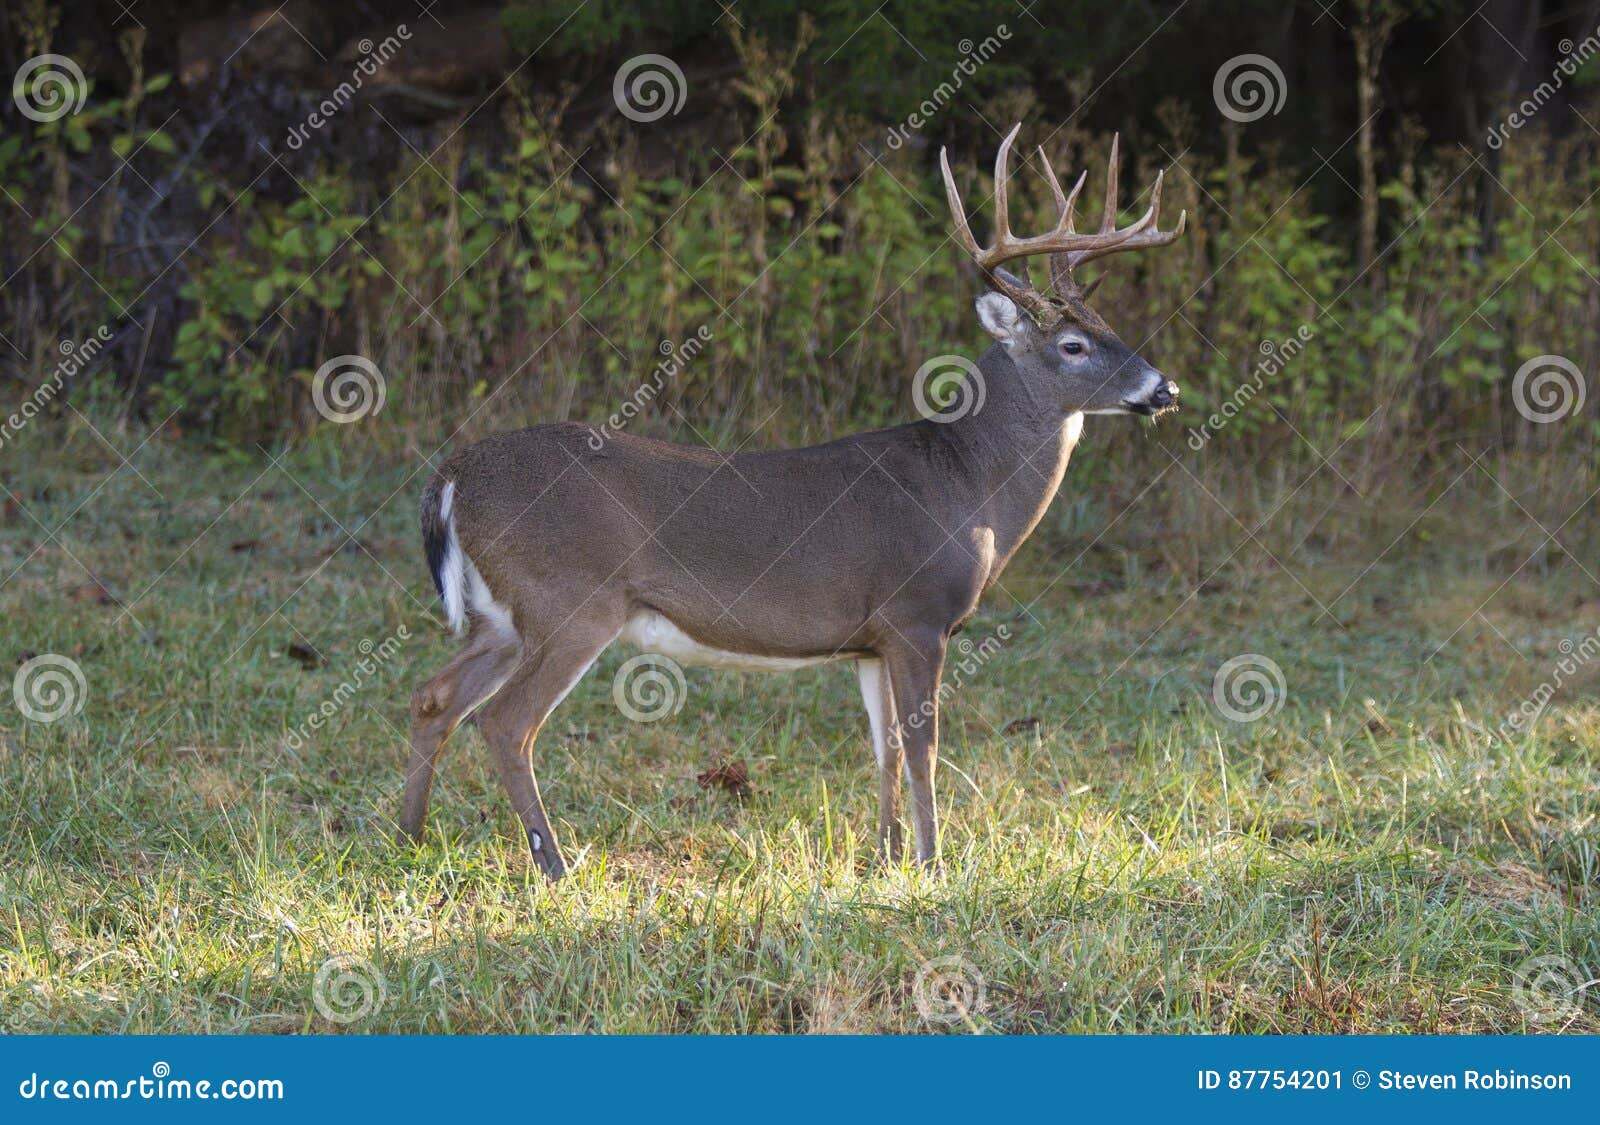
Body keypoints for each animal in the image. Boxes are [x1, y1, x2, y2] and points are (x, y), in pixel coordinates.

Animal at [399, 123, 1186, 880]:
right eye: (1075, 345)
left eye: (1112, 328)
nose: (1165, 388)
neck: (968, 486)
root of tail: (453, 473)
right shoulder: (917, 614)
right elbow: (924, 748)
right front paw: (936, 865)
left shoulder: (870, 638)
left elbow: (884, 746)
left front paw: (887, 858)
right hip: (571, 598)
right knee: (506, 722)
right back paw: (553, 864)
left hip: (505, 614)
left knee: (434, 695)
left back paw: (409, 838)